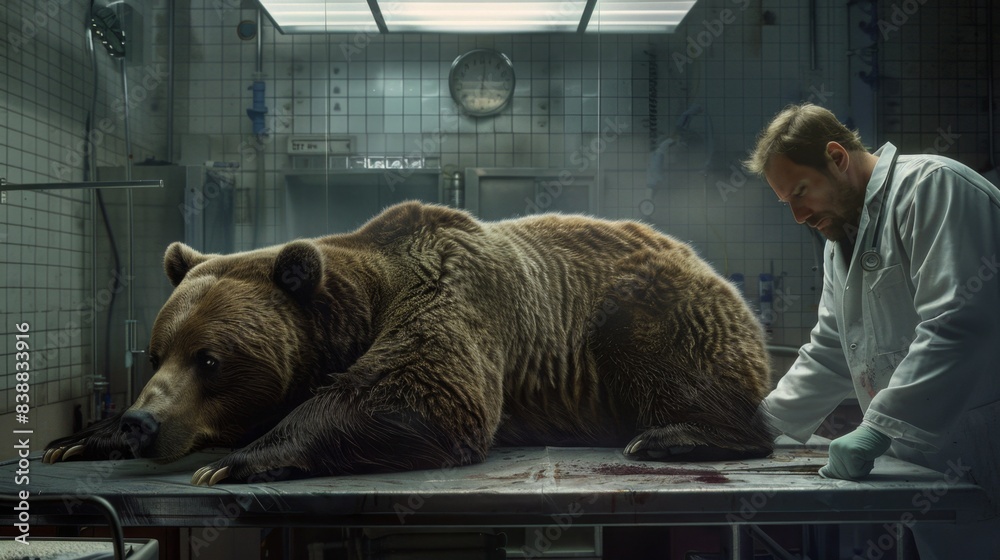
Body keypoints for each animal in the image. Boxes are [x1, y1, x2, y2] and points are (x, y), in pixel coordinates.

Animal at [43, 201, 774, 485]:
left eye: (210, 359)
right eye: (154, 352)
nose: (142, 421)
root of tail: (702, 259)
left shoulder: (450, 295)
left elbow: (427, 393)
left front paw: (235, 461)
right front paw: (76, 439)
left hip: (643, 309)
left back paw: (669, 435)